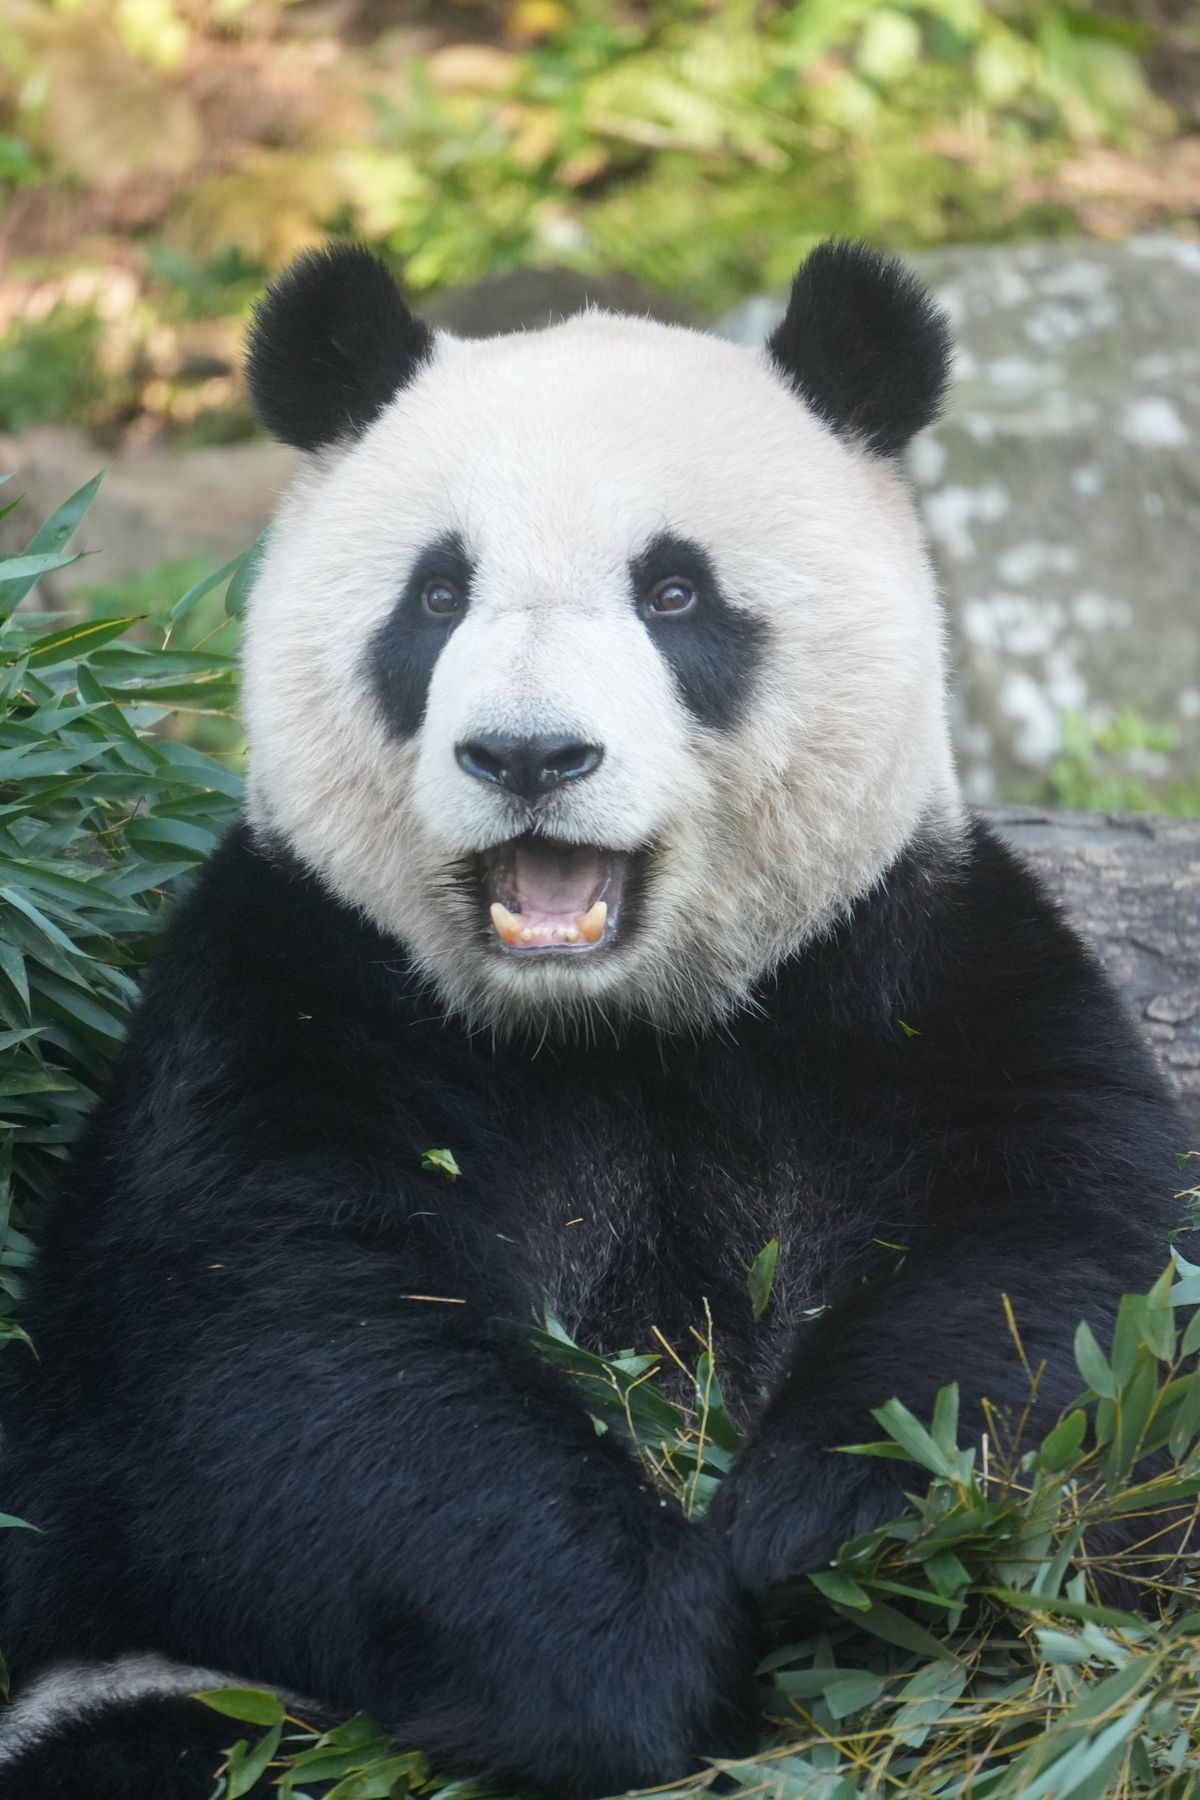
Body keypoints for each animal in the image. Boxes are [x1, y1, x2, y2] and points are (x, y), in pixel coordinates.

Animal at [0, 240, 1185, 1800]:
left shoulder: (913, 975)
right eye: (437, 596)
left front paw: (847, 1536)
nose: (529, 756)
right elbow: (282, 1340)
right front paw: (626, 1647)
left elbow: (1056, 1279)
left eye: (674, 594)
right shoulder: (294, 999)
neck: (618, 1025)